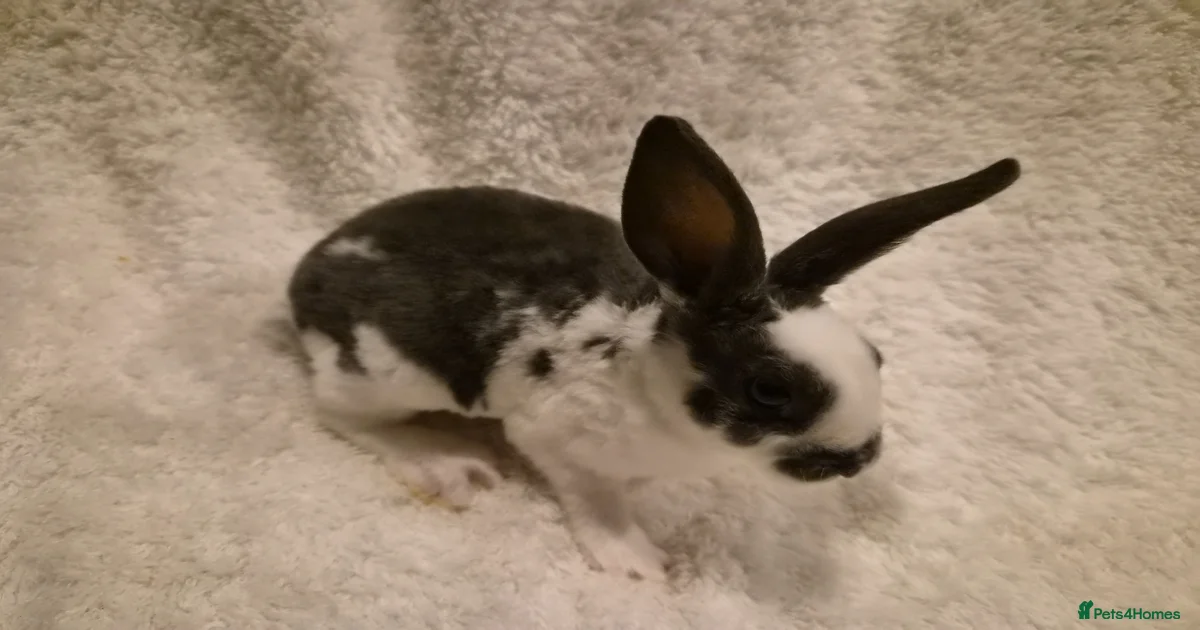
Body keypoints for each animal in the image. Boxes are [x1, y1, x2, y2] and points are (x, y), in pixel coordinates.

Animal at [286, 115, 1021, 581]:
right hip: (386, 372)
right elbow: (596, 502)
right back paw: (442, 463)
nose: (858, 459)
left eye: (876, 355)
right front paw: (635, 562)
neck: (648, 387)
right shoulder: (554, 438)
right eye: (769, 389)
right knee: (336, 411)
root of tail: (307, 277)